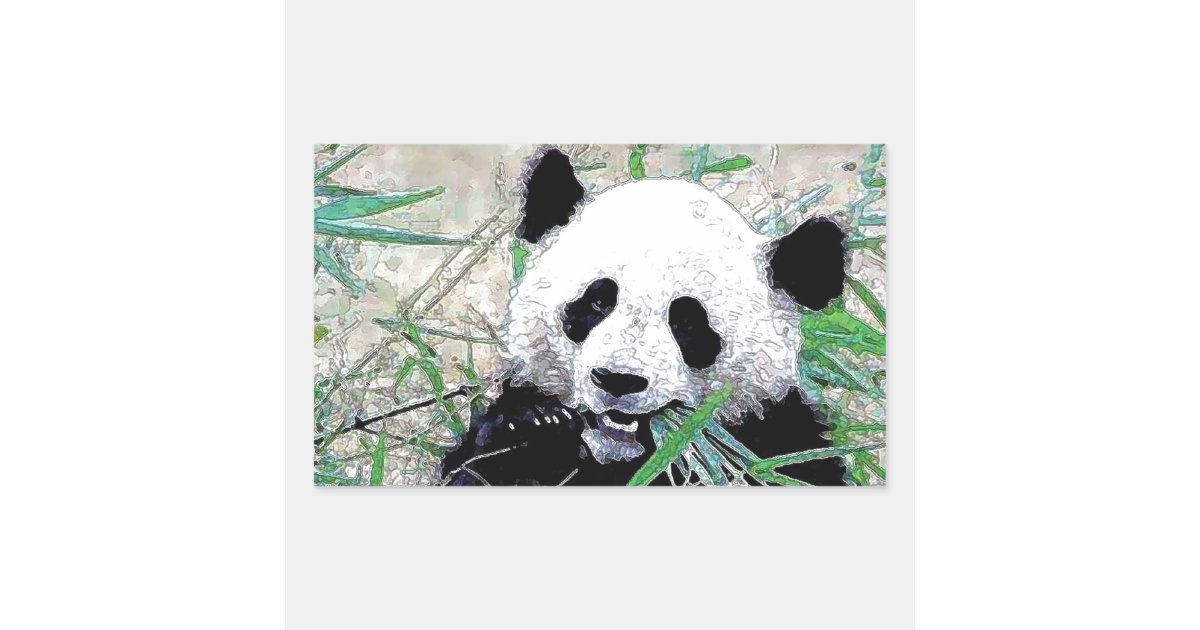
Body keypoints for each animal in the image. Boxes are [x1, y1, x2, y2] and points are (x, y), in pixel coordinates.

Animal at [441, 147, 849, 486]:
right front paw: (539, 425)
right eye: (598, 302)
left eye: (687, 322)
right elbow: (476, 465)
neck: (619, 454)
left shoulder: (777, 439)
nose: (617, 380)